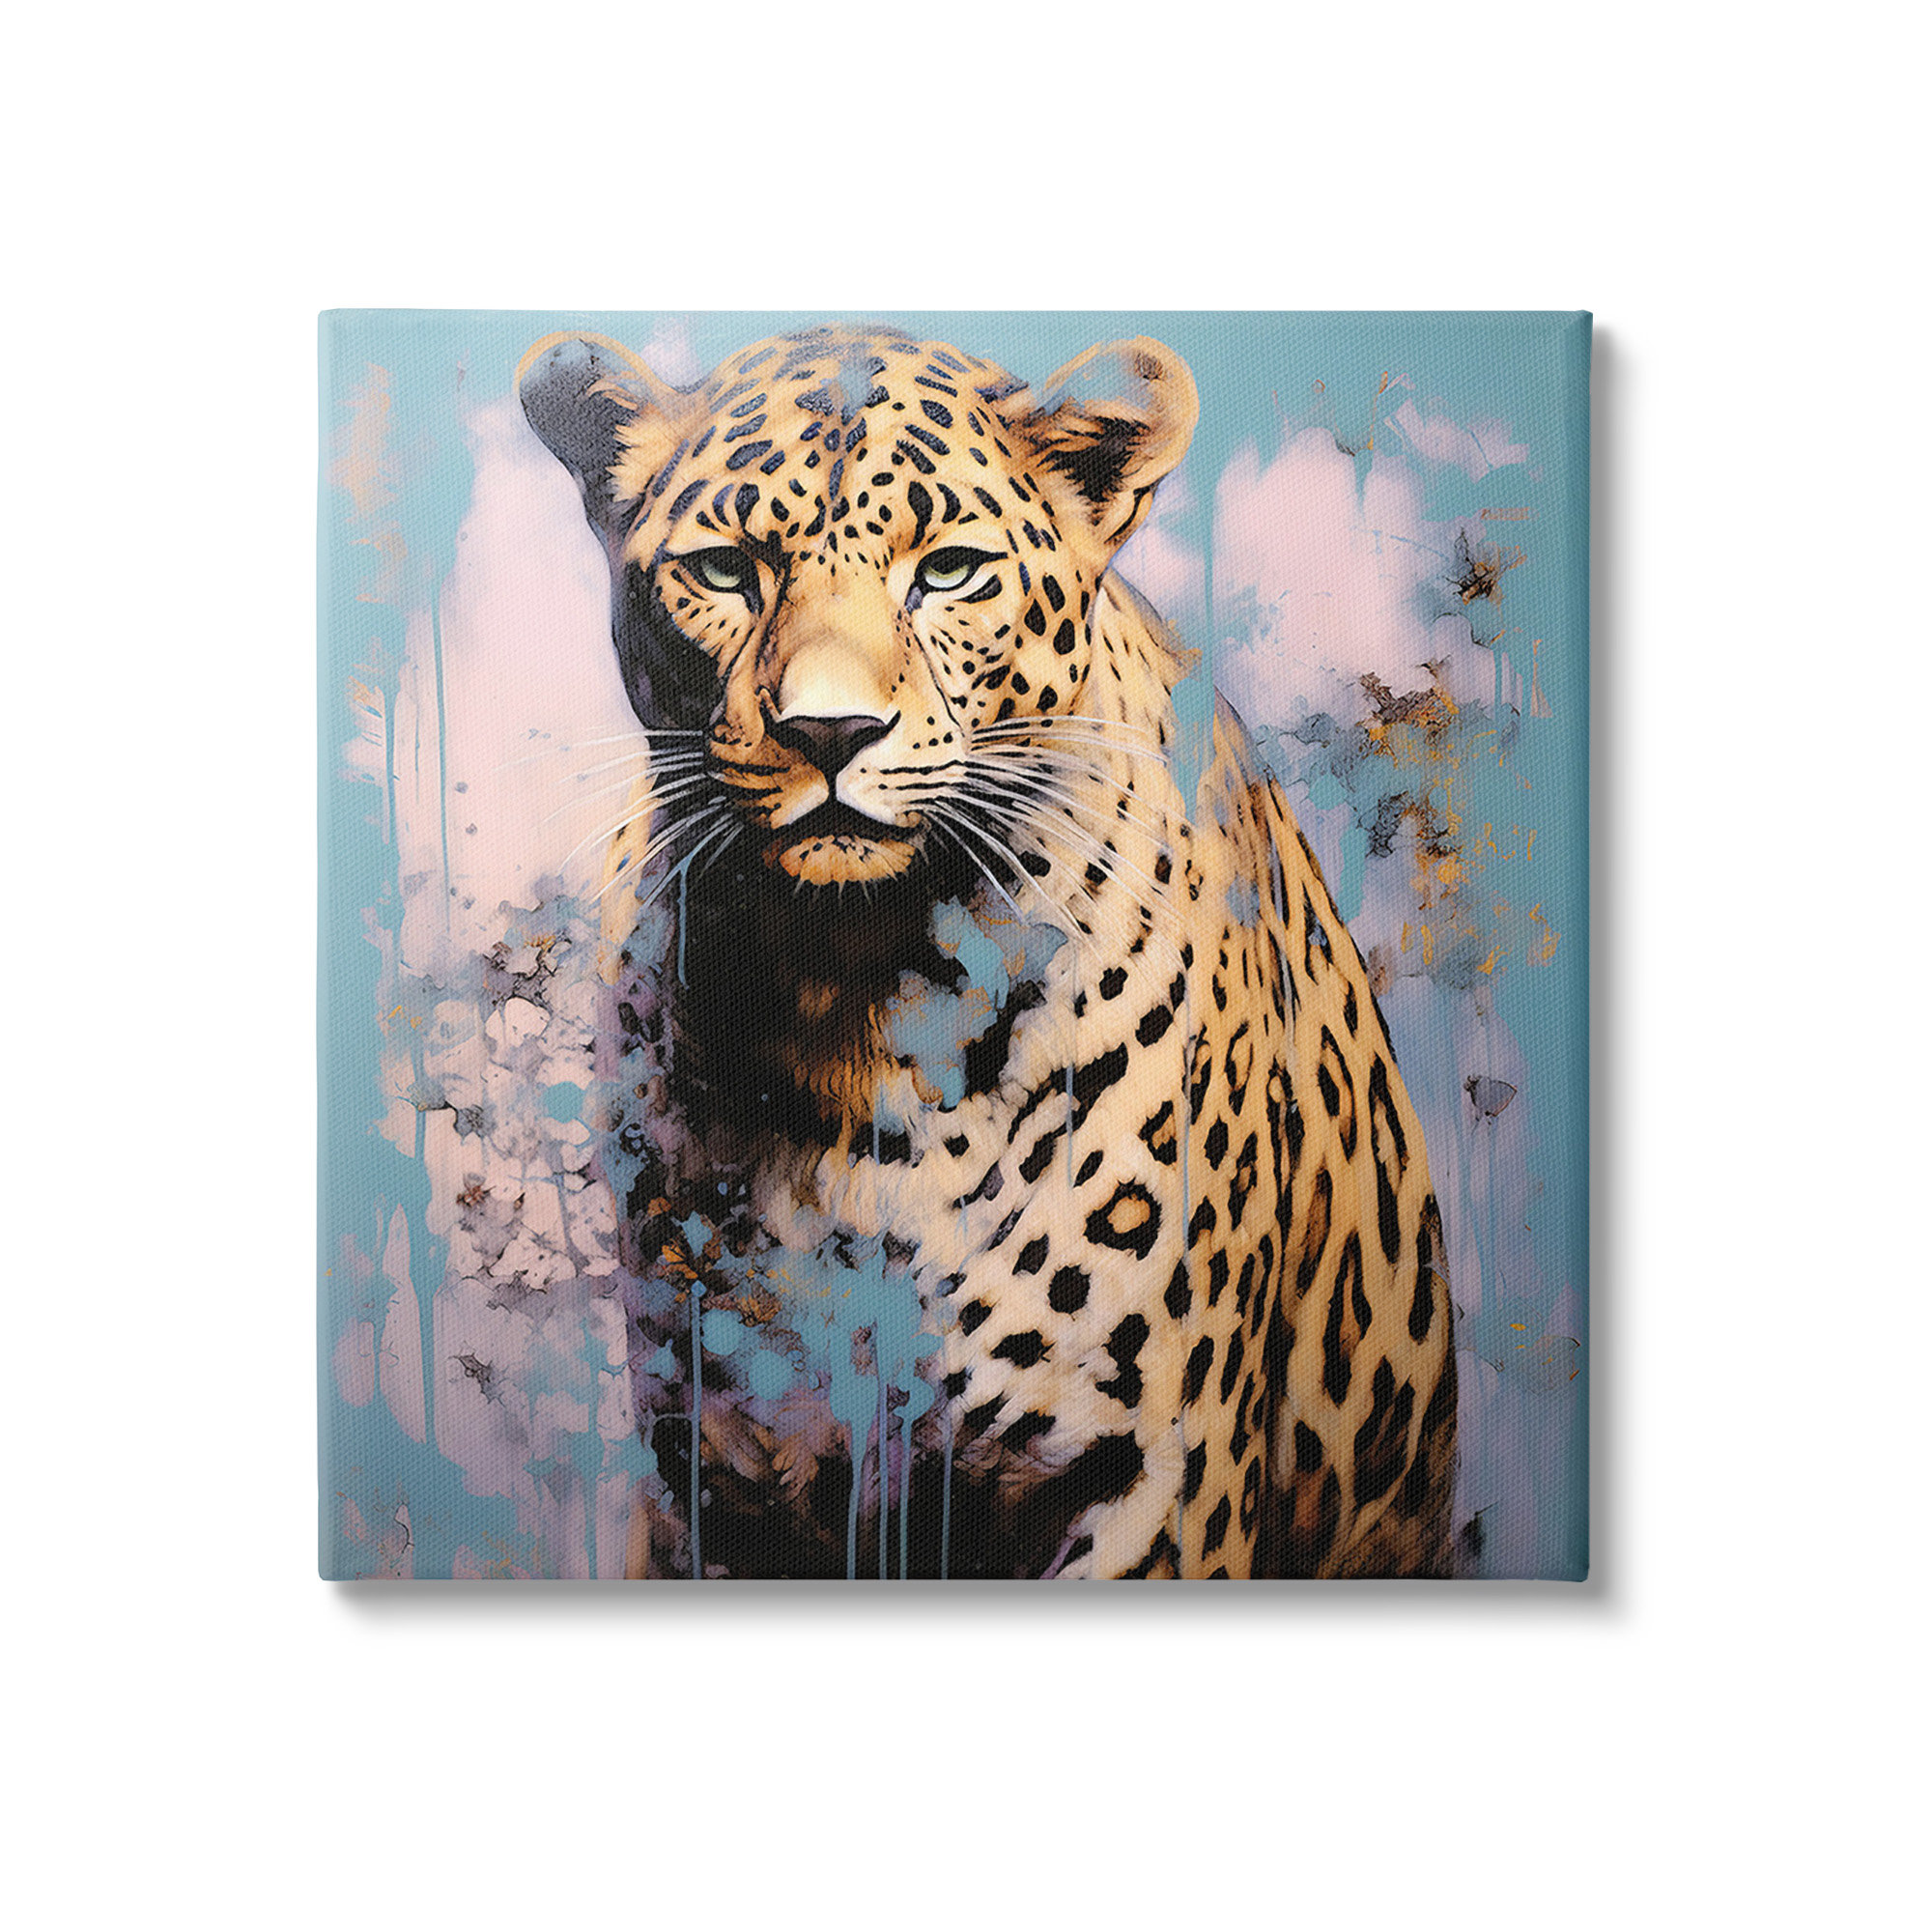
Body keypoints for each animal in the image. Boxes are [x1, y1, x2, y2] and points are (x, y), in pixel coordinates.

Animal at [518, 321, 1458, 1578]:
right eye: (723, 571)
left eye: (951, 569)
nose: (828, 732)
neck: (847, 995)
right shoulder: (711, 1479)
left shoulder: (1141, 1475)